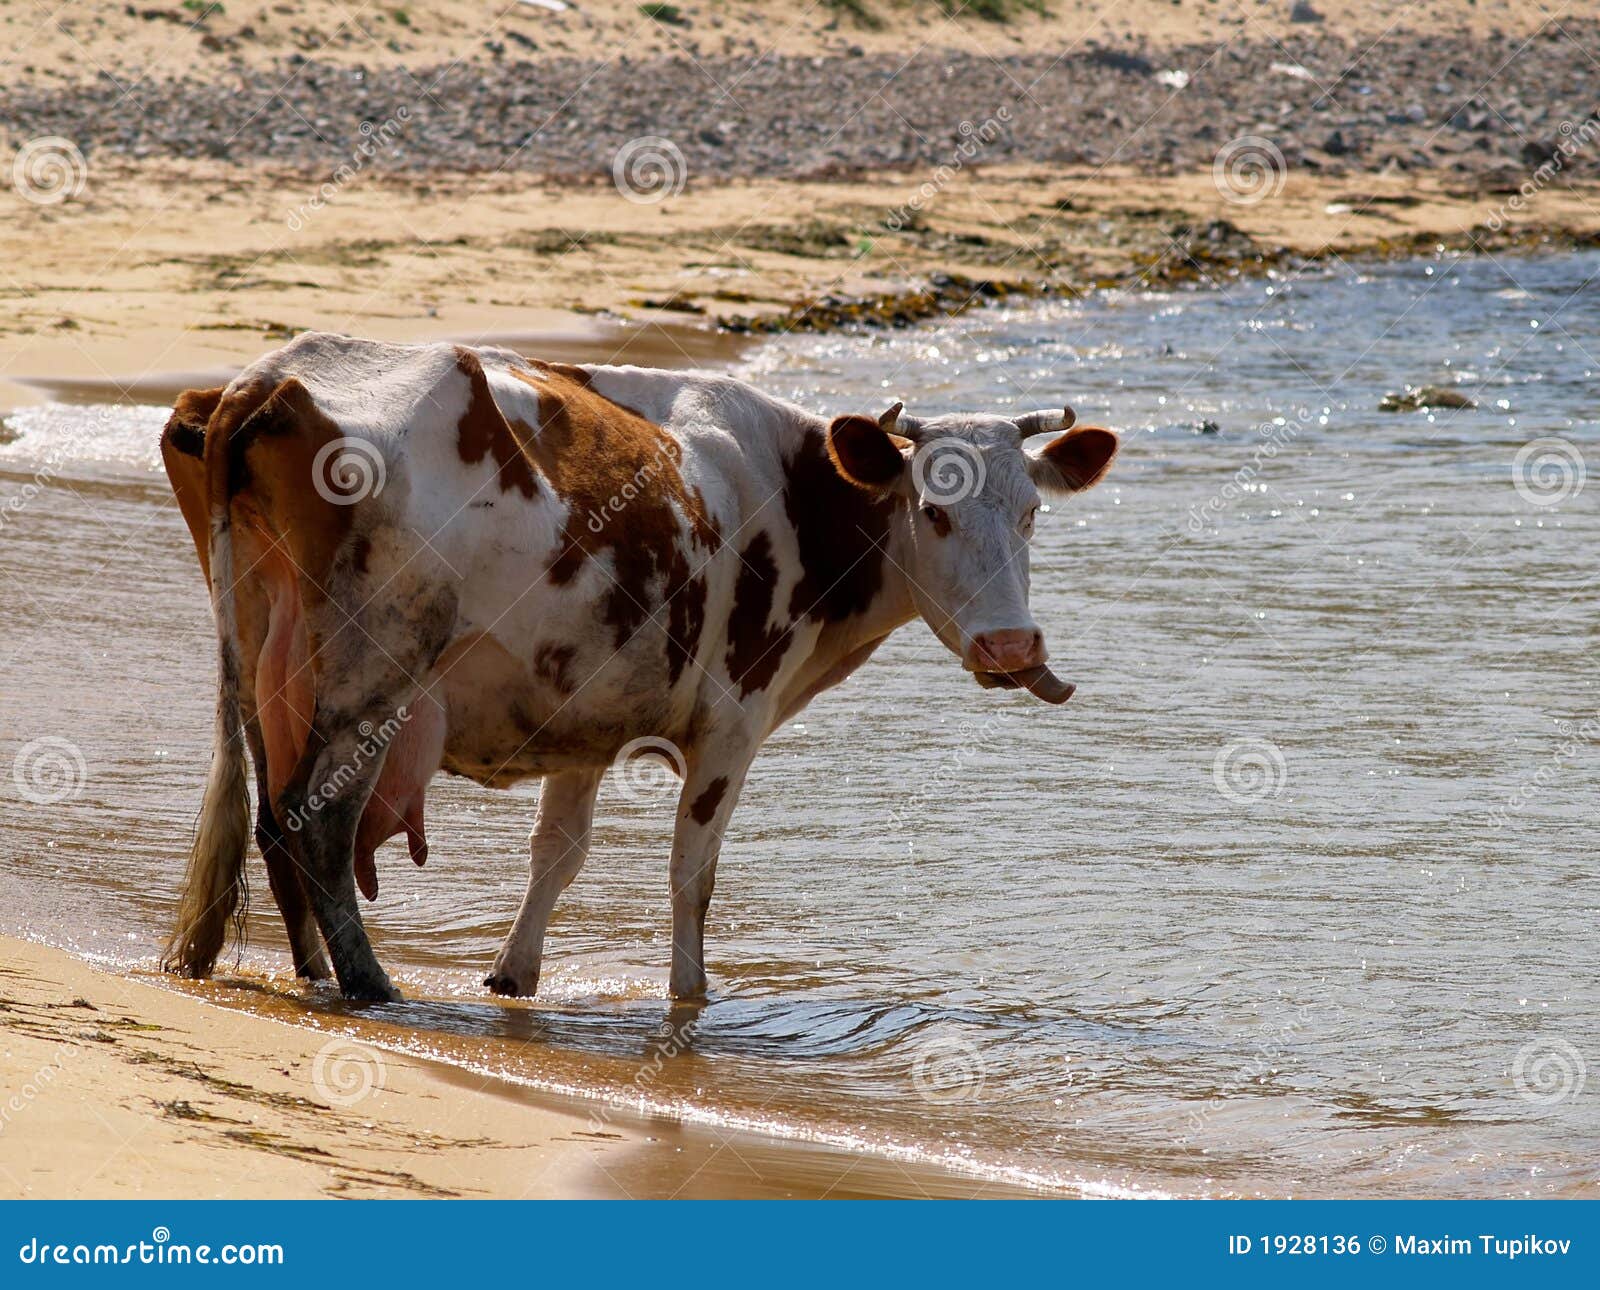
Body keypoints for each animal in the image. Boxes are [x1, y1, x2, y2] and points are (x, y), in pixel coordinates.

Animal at [158, 332, 1118, 1003]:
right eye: (932, 510)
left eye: (1031, 512)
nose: (1011, 648)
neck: (791, 491)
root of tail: (272, 376)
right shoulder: (732, 723)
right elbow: (693, 869)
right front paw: (689, 998)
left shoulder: (582, 714)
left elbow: (558, 852)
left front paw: (512, 975)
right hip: (372, 676)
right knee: (315, 822)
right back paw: (369, 983)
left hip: (262, 659)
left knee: (273, 822)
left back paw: (316, 972)